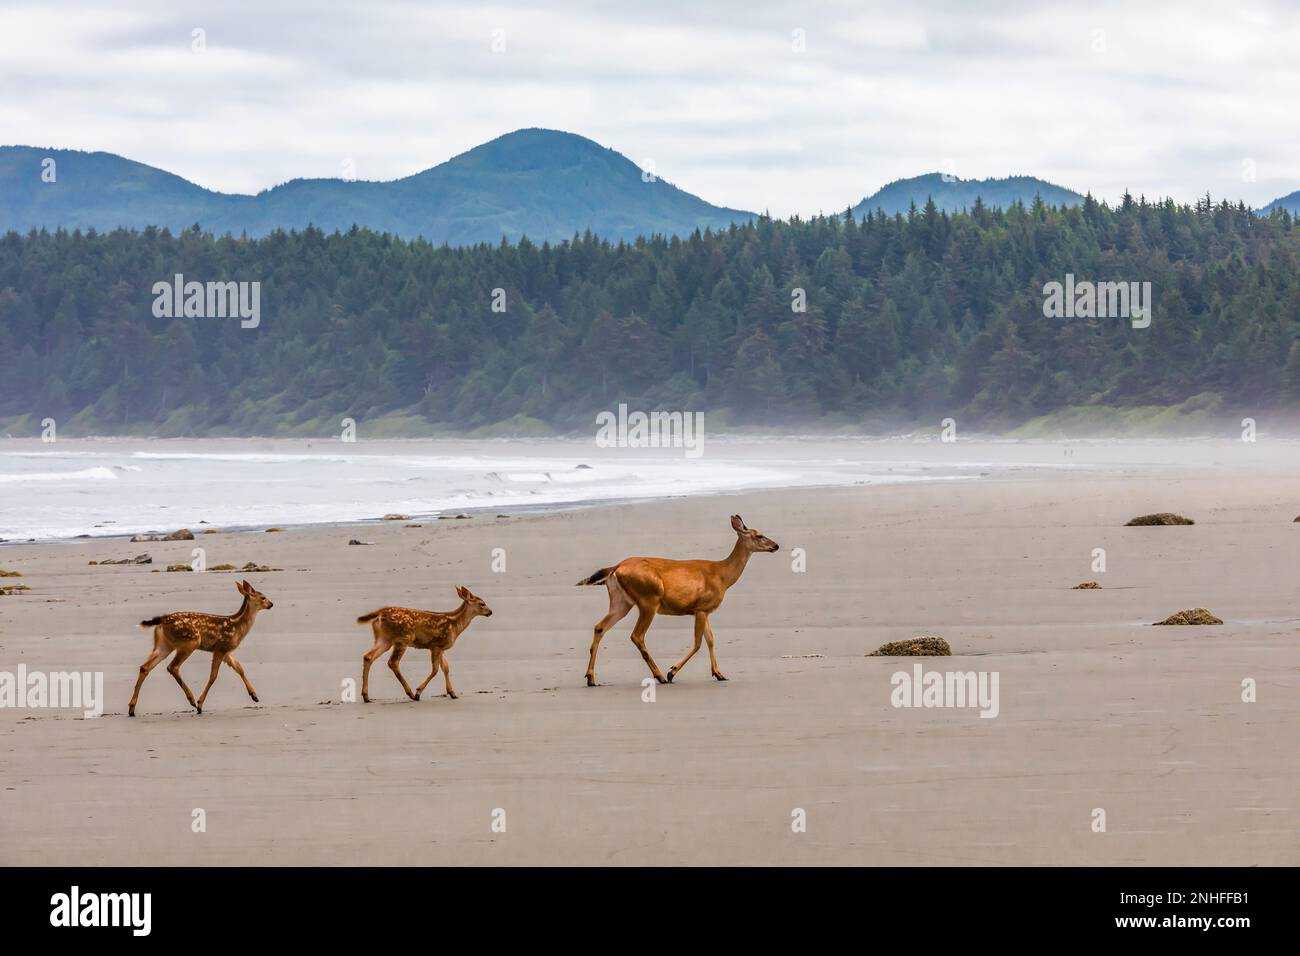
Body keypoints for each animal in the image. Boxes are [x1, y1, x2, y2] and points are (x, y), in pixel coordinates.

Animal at [129, 579, 274, 717]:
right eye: (263, 597)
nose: (271, 604)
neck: (237, 627)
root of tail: (163, 619)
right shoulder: (220, 647)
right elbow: (213, 676)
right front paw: (200, 704)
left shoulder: (226, 651)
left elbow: (240, 668)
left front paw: (254, 696)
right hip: (190, 642)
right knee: (172, 667)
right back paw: (192, 700)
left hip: (164, 644)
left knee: (145, 667)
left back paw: (131, 708)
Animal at [357, 586, 493, 703]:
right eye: (482, 603)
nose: (490, 612)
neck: (455, 625)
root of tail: (380, 612)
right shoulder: (435, 645)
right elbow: (435, 670)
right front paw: (418, 692)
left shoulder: (441, 647)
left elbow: (446, 668)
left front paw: (452, 693)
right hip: (403, 638)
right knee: (393, 662)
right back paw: (411, 693)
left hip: (384, 639)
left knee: (368, 656)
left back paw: (366, 696)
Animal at [576, 514, 779, 687]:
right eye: (759, 535)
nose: (776, 546)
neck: (722, 576)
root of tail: (616, 567)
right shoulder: (701, 608)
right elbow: (698, 643)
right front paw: (672, 671)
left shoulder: (703, 610)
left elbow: (711, 640)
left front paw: (719, 674)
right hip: (648, 600)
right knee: (637, 635)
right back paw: (660, 676)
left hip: (621, 602)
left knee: (600, 627)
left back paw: (591, 678)